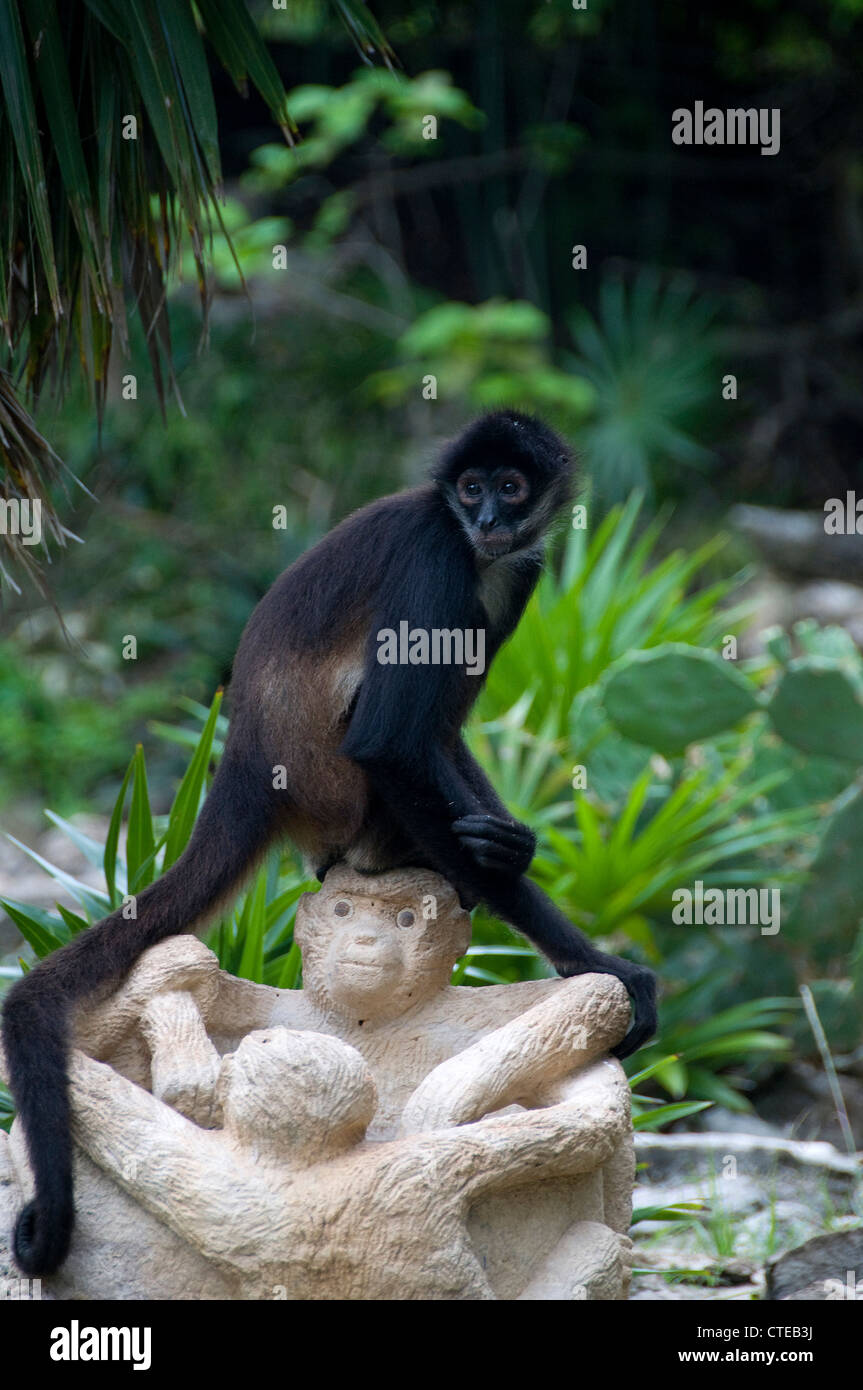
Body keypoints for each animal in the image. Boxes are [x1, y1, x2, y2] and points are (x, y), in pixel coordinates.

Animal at [1, 409, 656, 1276]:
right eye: (470, 488)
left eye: (510, 487)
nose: (486, 518)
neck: (470, 542)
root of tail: (247, 760)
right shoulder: (436, 554)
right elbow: (389, 742)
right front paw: (593, 962)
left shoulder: (517, 566)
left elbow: (436, 731)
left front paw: (509, 852)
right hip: (334, 788)